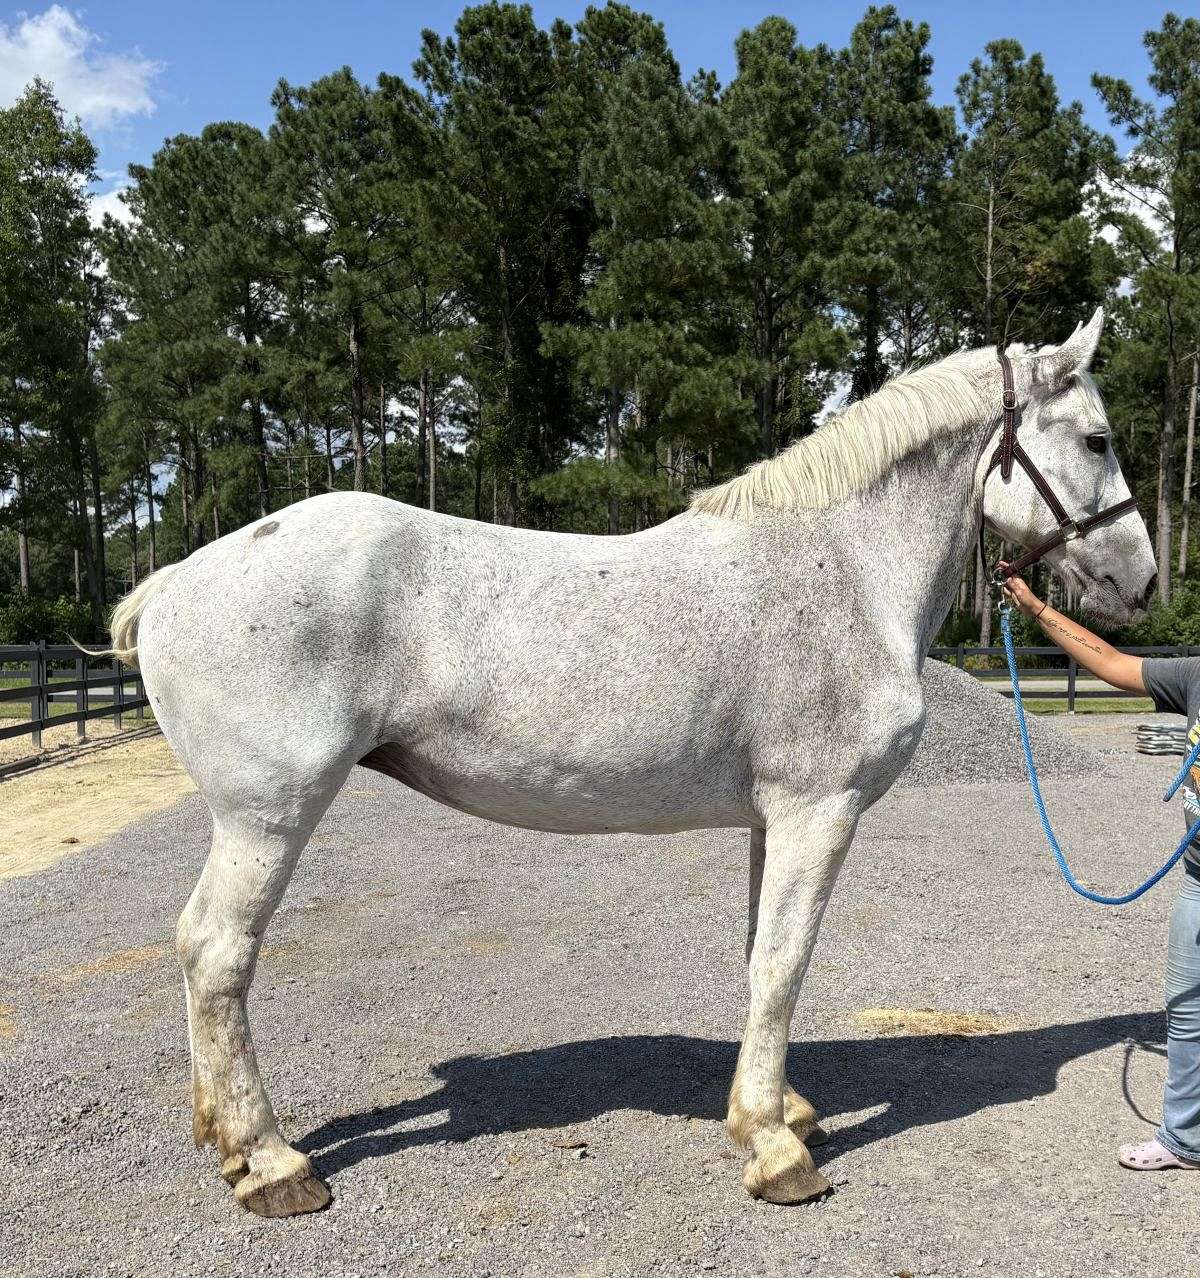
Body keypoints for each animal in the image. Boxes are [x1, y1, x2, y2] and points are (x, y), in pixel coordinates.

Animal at [107, 307, 1155, 1217]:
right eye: (1099, 439)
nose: (1143, 582)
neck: (844, 571)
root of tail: (177, 581)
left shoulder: (773, 821)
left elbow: (759, 958)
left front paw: (780, 1108)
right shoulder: (820, 809)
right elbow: (785, 962)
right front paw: (775, 1151)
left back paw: (230, 1143)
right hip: (268, 816)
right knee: (216, 953)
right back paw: (273, 1162)